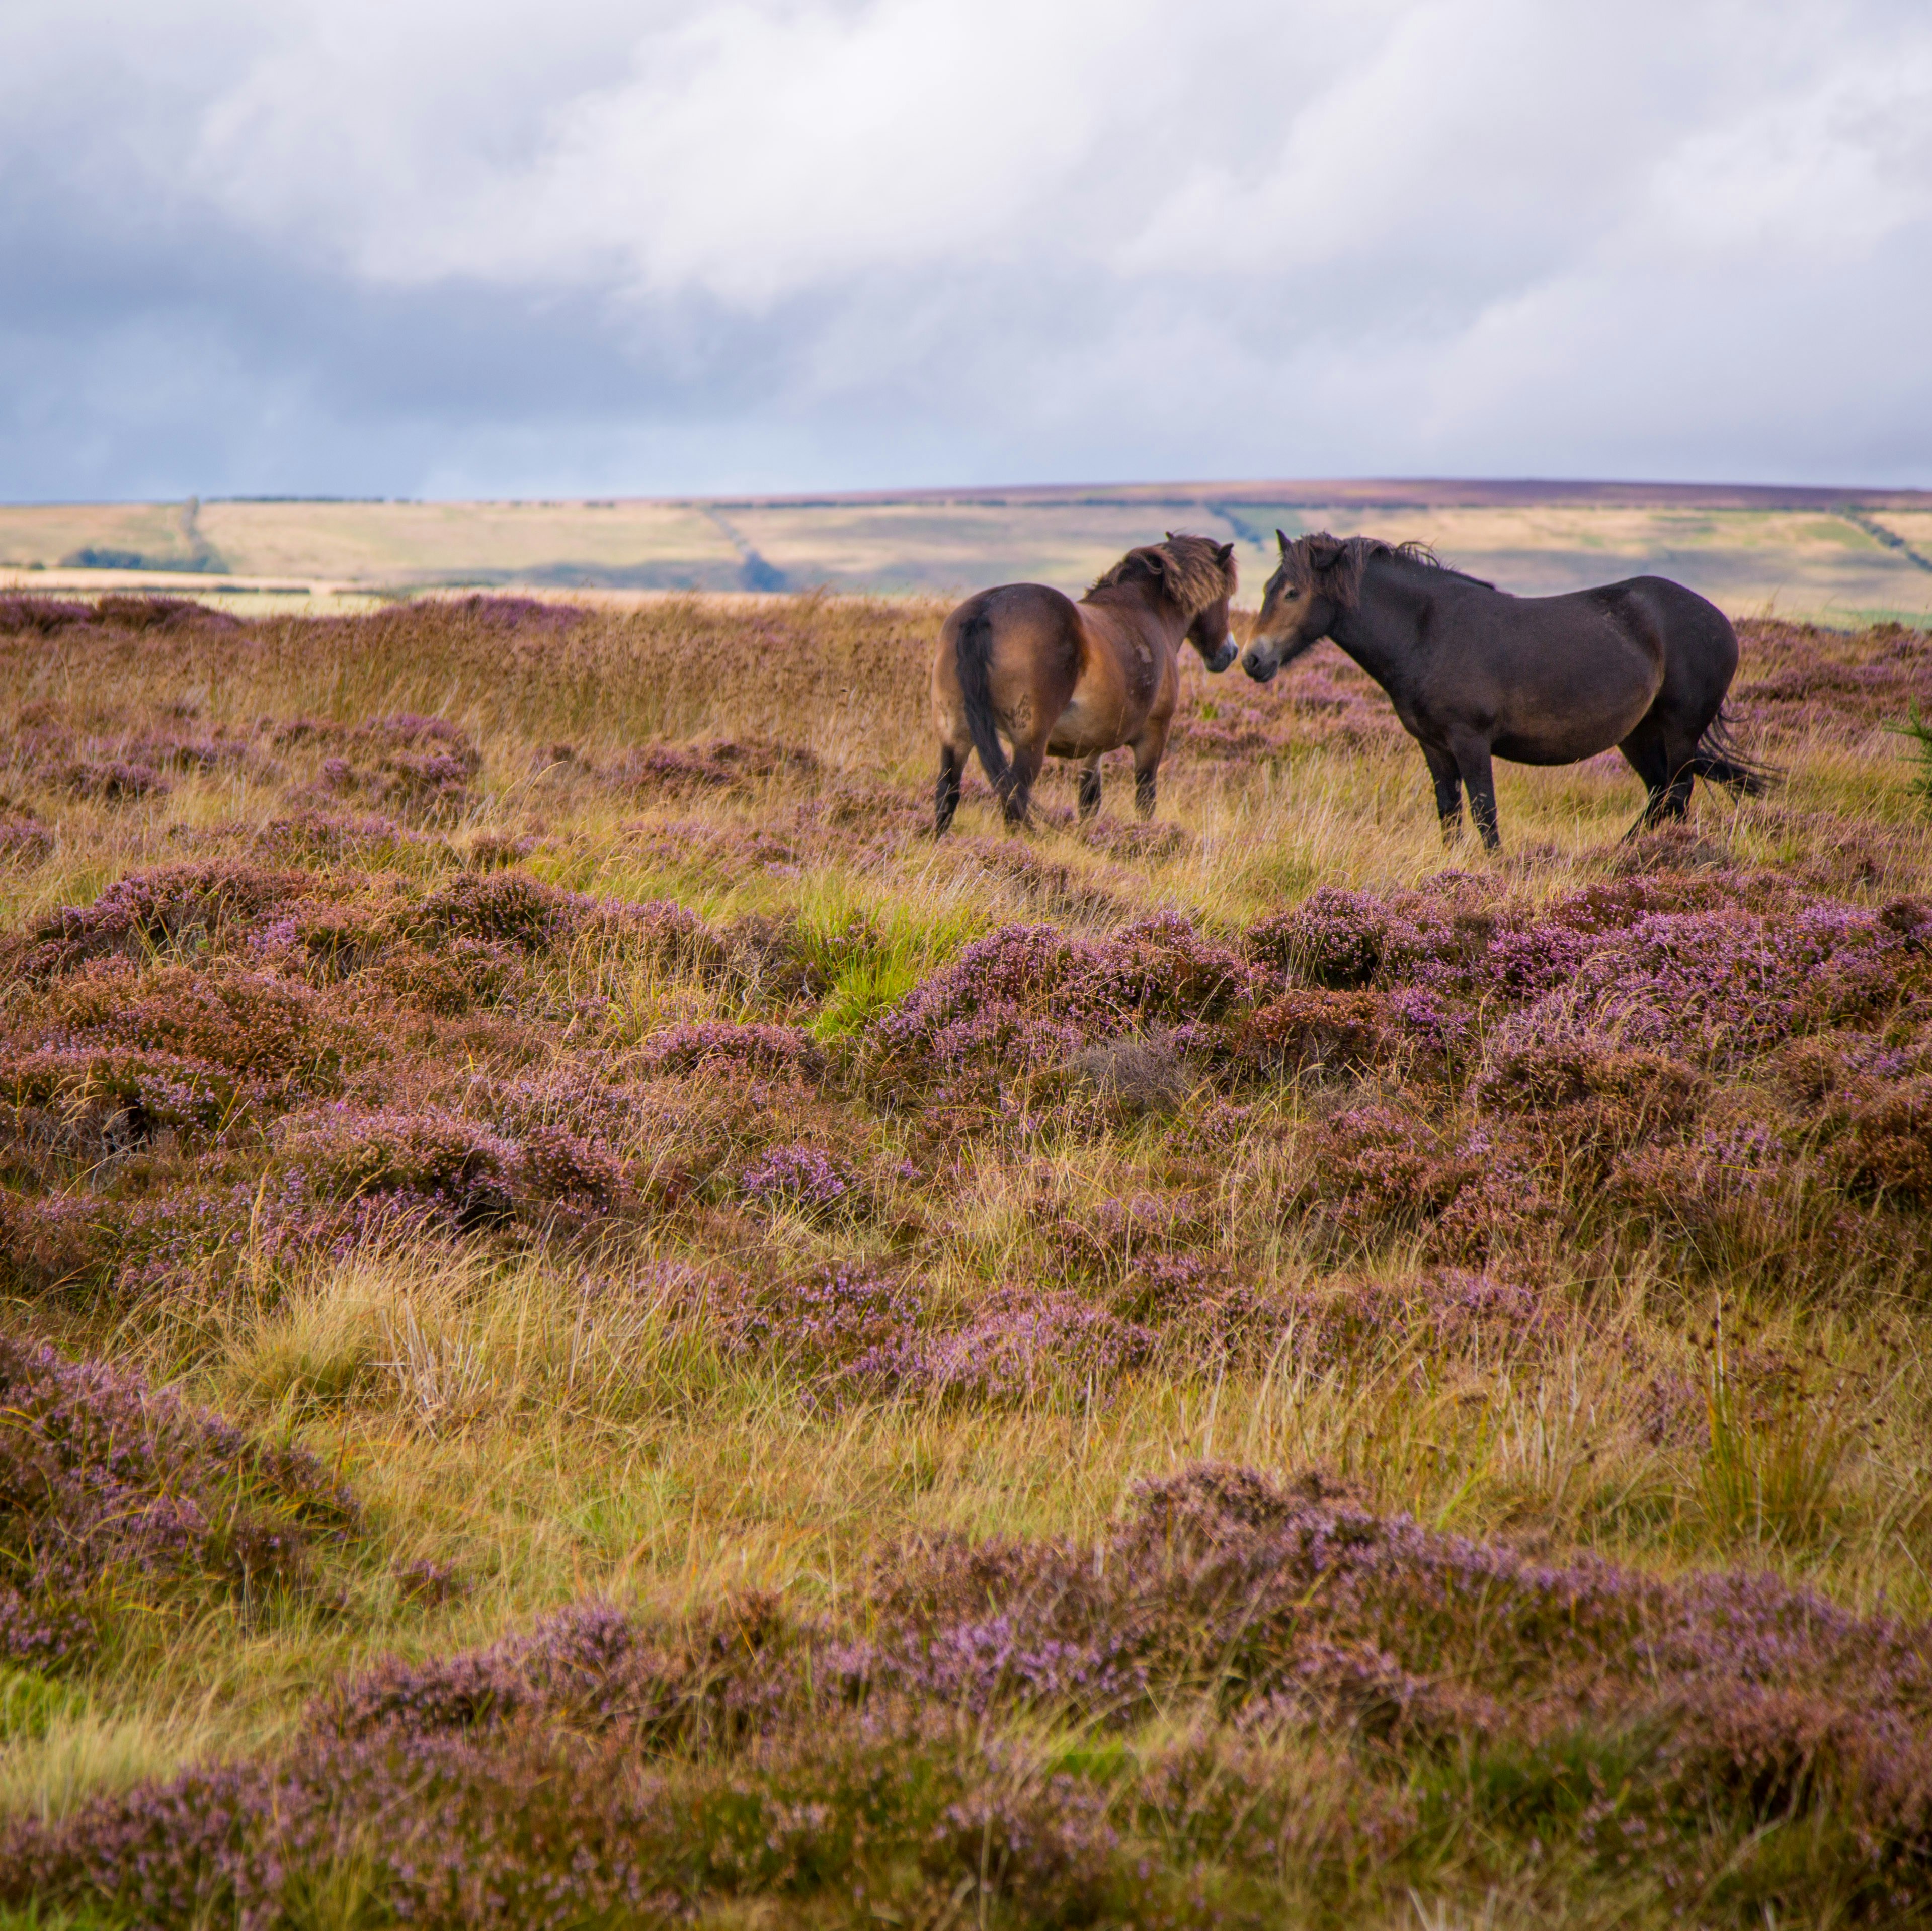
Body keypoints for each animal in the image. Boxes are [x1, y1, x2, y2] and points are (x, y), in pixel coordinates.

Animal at [931, 532, 1239, 833]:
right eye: (1226, 597)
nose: (1230, 652)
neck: (1150, 612)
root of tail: (984, 612)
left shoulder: (1093, 747)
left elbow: (1090, 801)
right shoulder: (1154, 735)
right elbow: (1145, 800)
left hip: (955, 736)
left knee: (948, 794)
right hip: (1029, 744)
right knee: (1013, 801)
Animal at [1240, 531, 1767, 849]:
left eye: (1293, 592)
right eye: (1267, 587)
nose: (1252, 660)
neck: (1426, 632)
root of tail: (1721, 621)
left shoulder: (1471, 741)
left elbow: (1484, 816)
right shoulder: (1434, 747)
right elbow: (1450, 816)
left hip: (1679, 729)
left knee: (1677, 793)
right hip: (1638, 734)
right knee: (1661, 795)